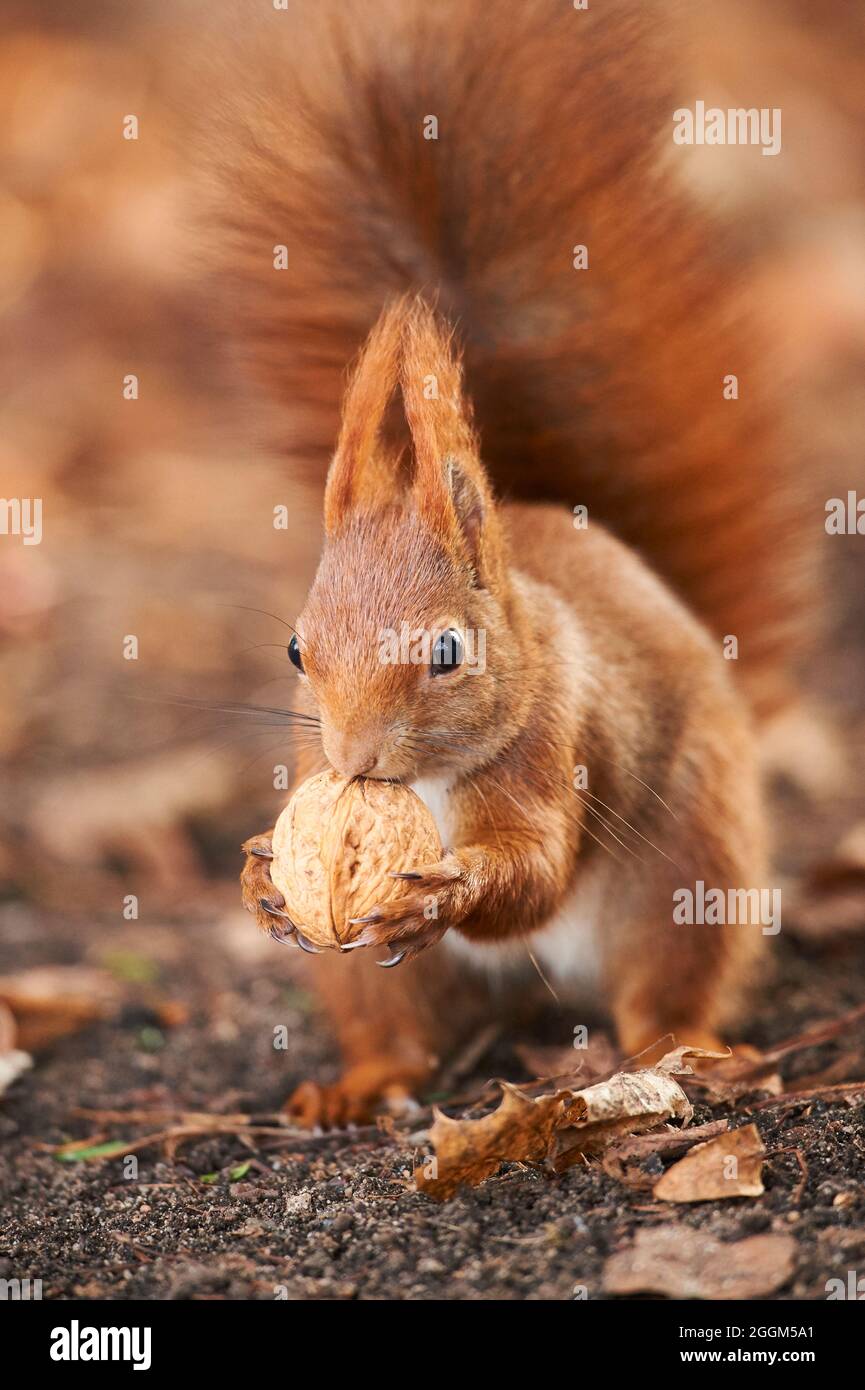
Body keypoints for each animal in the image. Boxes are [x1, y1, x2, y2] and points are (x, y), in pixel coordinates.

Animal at [200, 0, 816, 1126]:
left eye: (448, 653)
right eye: (297, 650)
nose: (354, 760)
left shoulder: (553, 742)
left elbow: (533, 870)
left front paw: (450, 889)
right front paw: (262, 874)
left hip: (688, 864)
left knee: (667, 981)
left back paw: (684, 1048)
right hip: (377, 981)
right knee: (395, 1026)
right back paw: (362, 1082)